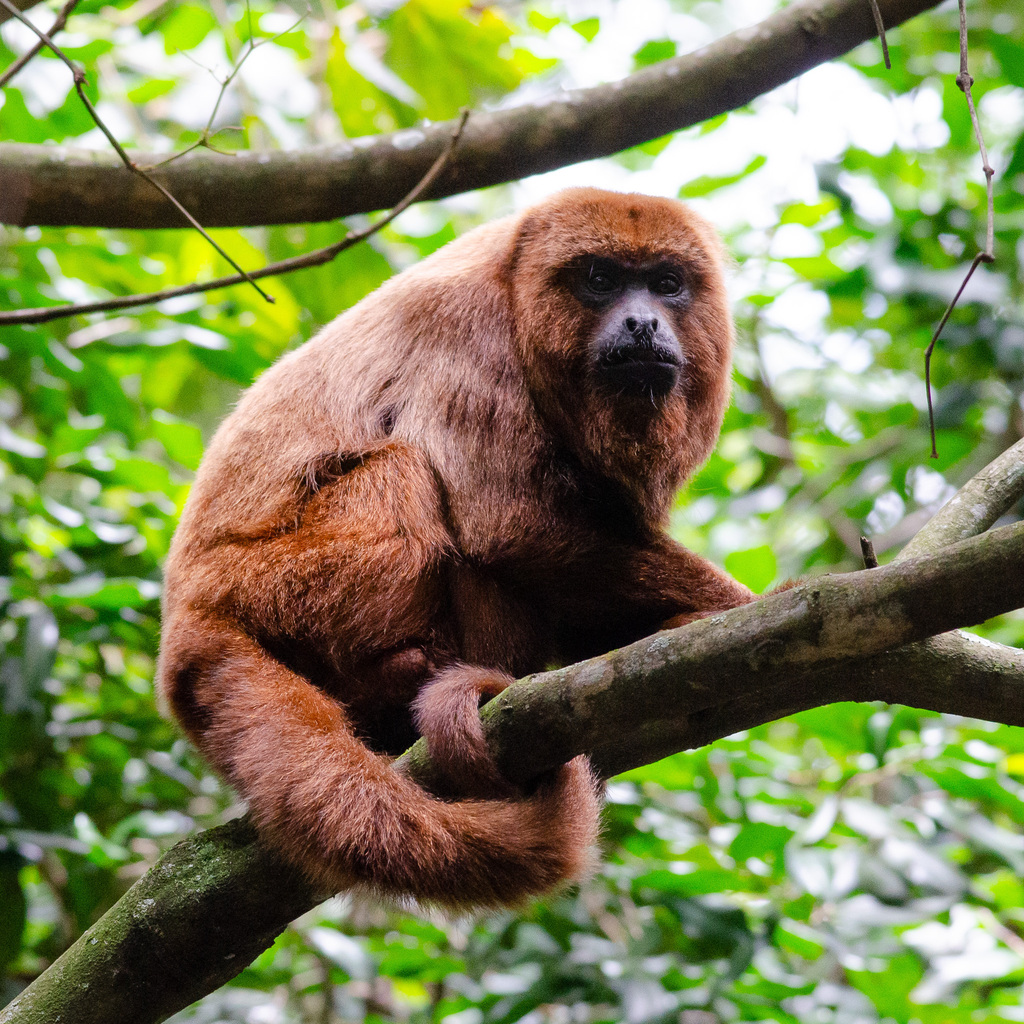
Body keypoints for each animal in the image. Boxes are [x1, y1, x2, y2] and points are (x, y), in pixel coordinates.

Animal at [156, 187, 755, 910]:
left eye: (667, 284)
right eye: (600, 279)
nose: (642, 323)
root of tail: (188, 621)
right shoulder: (470, 330)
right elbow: (510, 525)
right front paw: (752, 605)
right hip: (281, 582)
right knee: (406, 469)